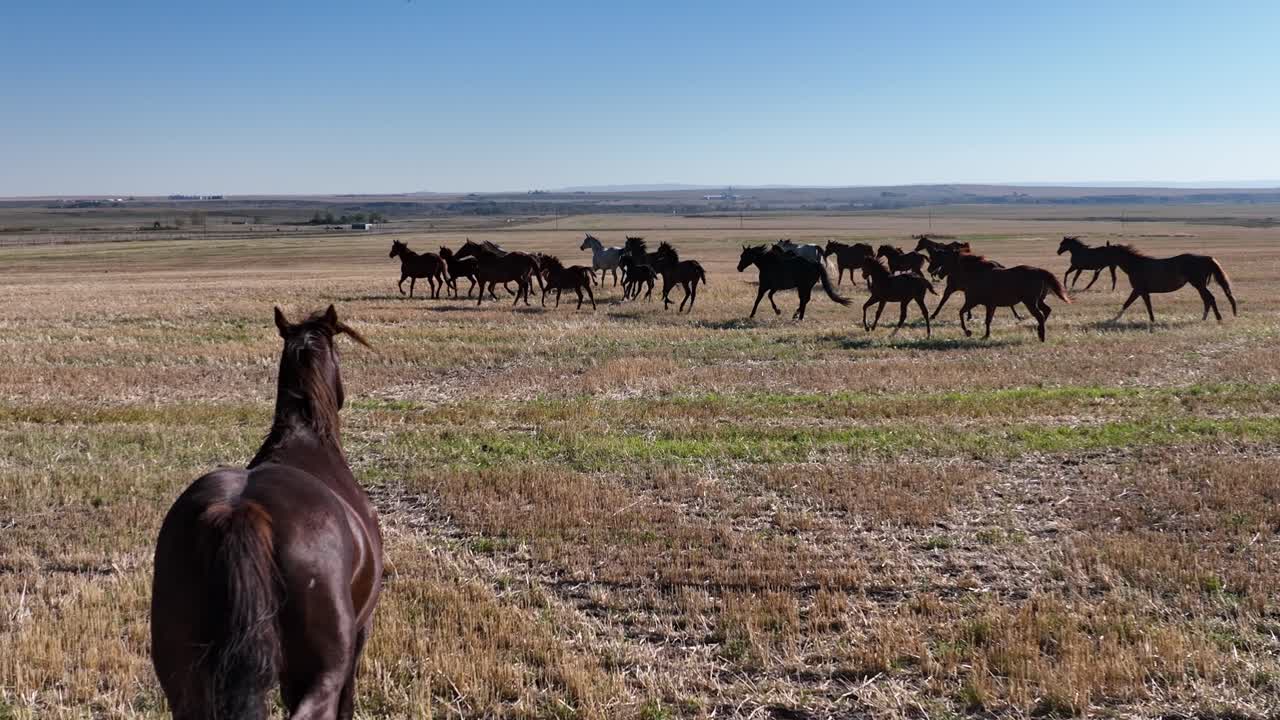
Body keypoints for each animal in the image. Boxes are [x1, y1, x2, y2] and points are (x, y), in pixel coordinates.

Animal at [934, 253, 1070, 341]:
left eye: (947, 261)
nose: (939, 273)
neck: (976, 273)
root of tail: (1040, 272)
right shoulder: (990, 305)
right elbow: (988, 320)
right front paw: (986, 335)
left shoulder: (972, 301)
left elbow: (961, 313)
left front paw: (968, 332)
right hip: (1039, 300)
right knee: (1047, 310)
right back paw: (1038, 330)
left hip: (1030, 302)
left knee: (1040, 315)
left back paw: (1041, 335)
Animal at [1108, 244, 1236, 328]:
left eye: (1106, 253)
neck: (1136, 265)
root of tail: (1207, 258)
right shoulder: (1143, 291)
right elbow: (1147, 306)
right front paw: (1152, 321)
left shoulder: (1138, 289)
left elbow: (1128, 303)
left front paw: (1113, 320)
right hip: (1199, 285)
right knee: (1207, 299)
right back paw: (1204, 319)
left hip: (1198, 284)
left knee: (1210, 298)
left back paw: (1218, 319)